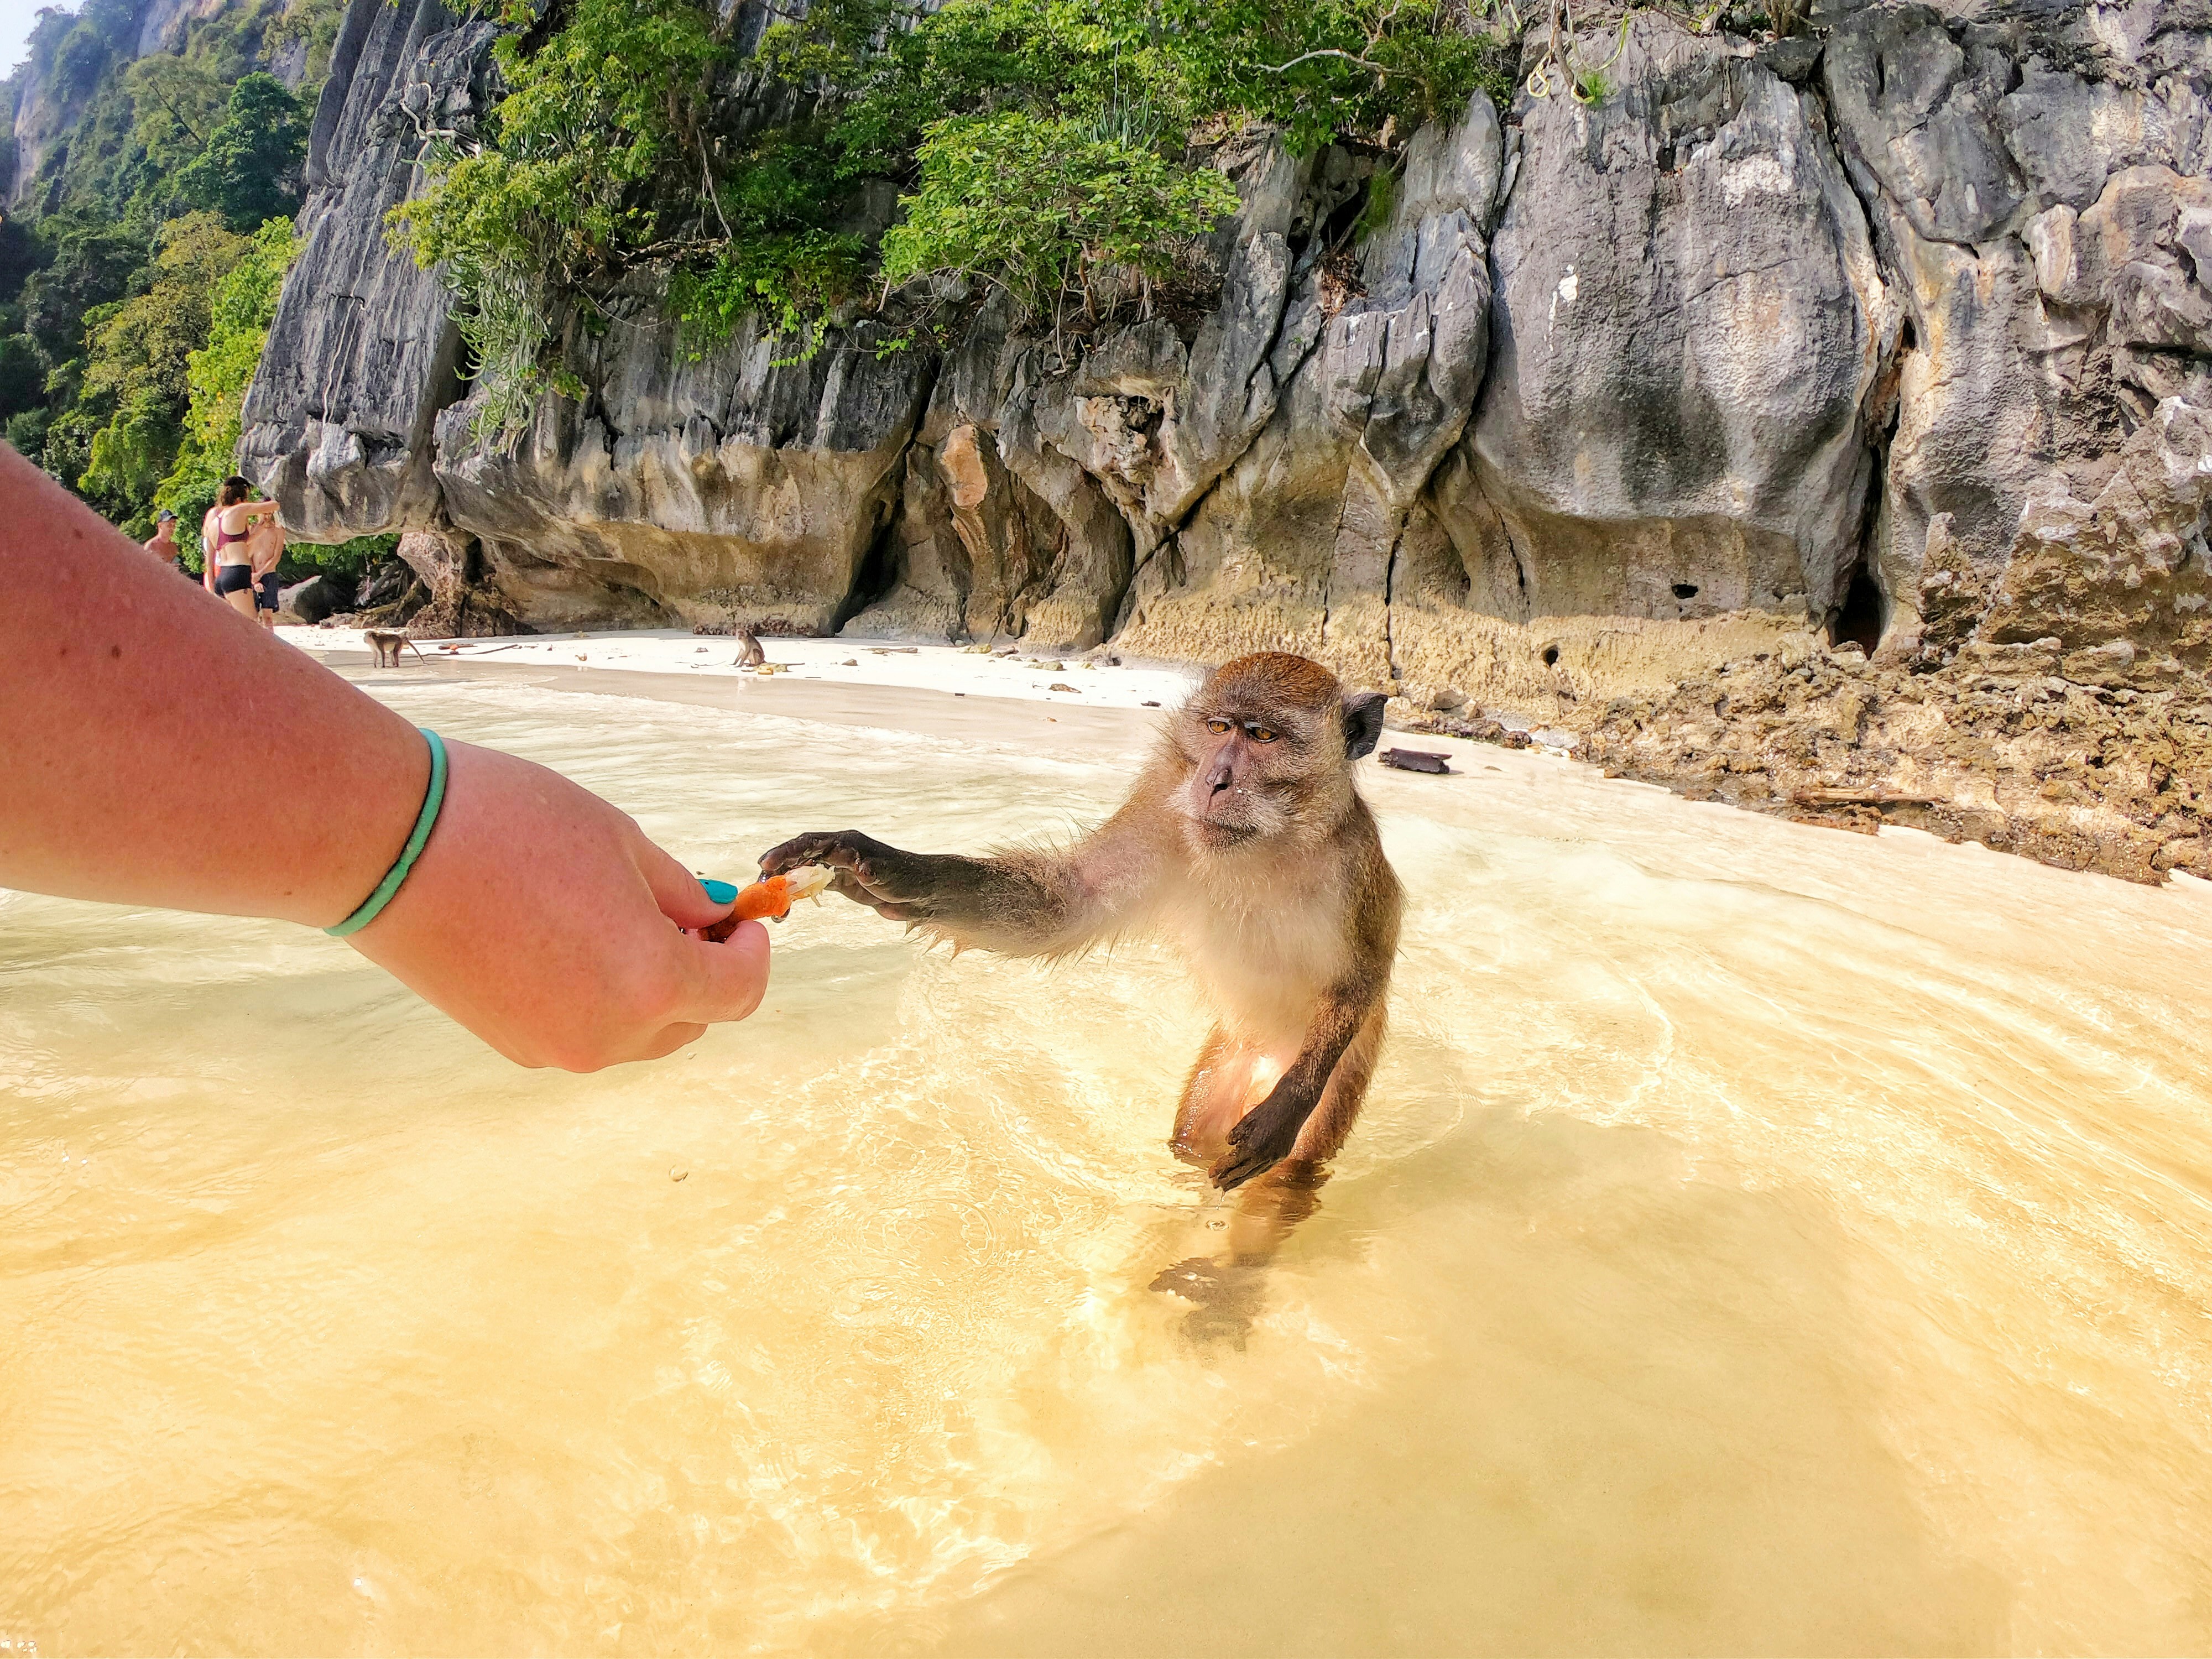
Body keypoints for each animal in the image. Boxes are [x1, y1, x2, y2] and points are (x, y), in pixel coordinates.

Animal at [759, 652, 1403, 1338]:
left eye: (1262, 737)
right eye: (1218, 726)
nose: (1214, 780)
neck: (1267, 843)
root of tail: (1261, 1059)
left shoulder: (1354, 868)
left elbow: (1361, 981)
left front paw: (1287, 1110)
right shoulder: (1163, 817)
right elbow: (1067, 902)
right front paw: (868, 861)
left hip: (1339, 1076)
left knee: (1287, 1181)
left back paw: (1228, 1282)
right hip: (1223, 1067)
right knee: (1190, 1145)